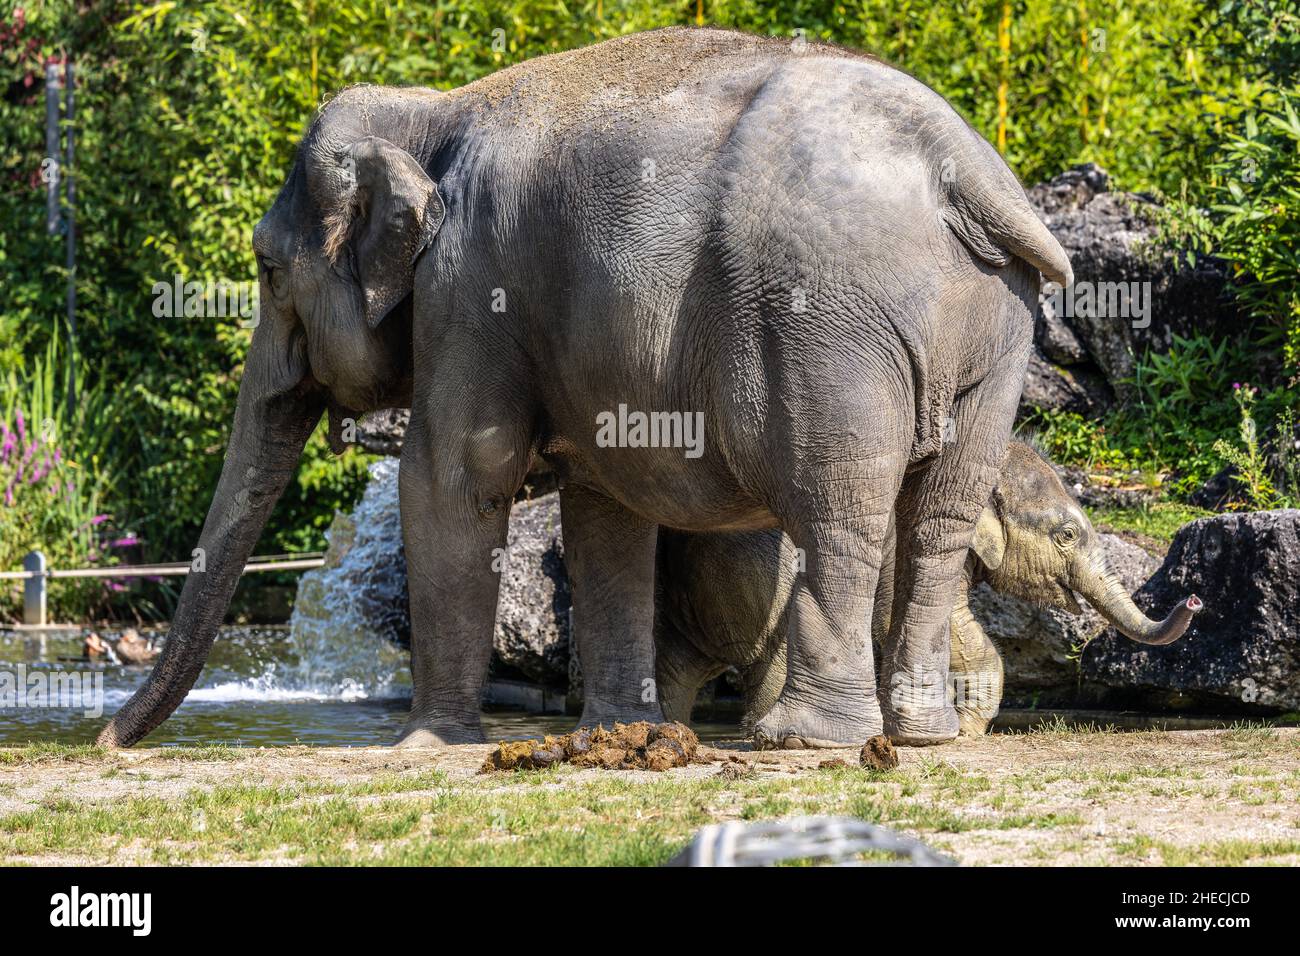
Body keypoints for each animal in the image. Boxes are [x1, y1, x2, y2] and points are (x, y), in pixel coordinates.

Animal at [98, 27, 1075, 749]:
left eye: (265, 269)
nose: (107, 741)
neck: (434, 108)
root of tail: (965, 169)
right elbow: (605, 503)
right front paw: (615, 733)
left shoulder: (471, 280)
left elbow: (454, 475)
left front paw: (428, 745)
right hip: (998, 325)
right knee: (939, 516)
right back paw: (921, 735)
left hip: (827, 325)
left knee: (838, 507)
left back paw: (805, 739)